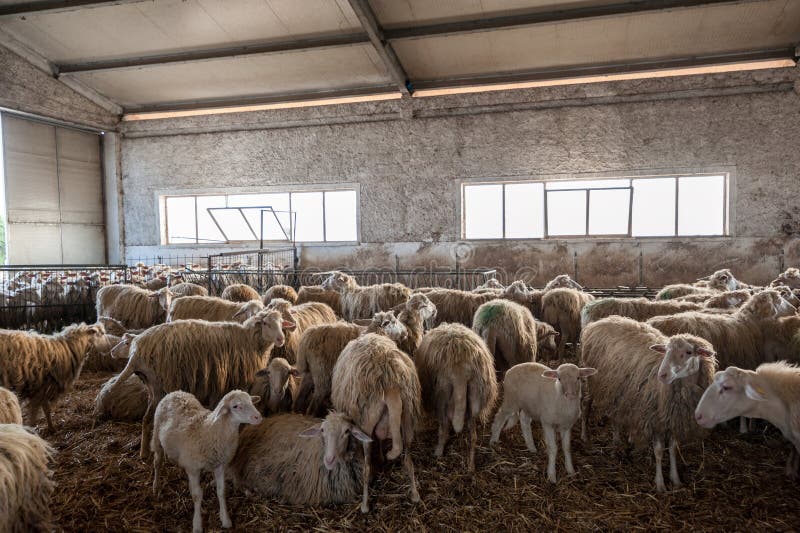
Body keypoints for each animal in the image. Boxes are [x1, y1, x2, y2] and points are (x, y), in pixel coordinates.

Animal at [113, 309, 293, 458]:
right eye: (265, 323)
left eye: (281, 322)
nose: (281, 339)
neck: (249, 341)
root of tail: (136, 351)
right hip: (160, 387)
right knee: (149, 418)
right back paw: (145, 453)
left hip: (151, 387)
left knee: (145, 419)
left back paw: (144, 451)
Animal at [152, 390, 262, 533]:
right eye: (235, 406)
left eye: (250, 401)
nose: (258, 417)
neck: (211, 430)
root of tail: (175, 393)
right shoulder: (193, 468)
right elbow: (197, 495)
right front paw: (197, 524)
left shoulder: (220, 465)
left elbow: (221, 491)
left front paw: (225, 519)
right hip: (156, 434)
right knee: (157, 462)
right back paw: (156, 486)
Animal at [331, 333, 421, 513]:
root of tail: (391, 381)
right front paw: (381, 457)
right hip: (408, 420)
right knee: (408, 460)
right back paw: (415, 494)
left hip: (366, 422)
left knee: (366, 467)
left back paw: (365, 505)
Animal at [415, 323, 498, 471]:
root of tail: (461, 369)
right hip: (476, 395)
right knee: (473, 435)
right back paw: (471, 466)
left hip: (441, 394)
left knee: (444, 429)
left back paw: (438, 453)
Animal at [580, 316, 717, 492]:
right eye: (666, 350)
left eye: (688, 352)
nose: (662, 375)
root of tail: (598, 322)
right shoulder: (654, 418)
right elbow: (658, 451)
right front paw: (660, 484)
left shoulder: (672, 419)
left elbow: (673, 449)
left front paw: (675, 479)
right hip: (592, 380)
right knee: (586, 405)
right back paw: (585, 435)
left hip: (618, 387)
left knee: (616, 415)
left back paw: (617, 441)